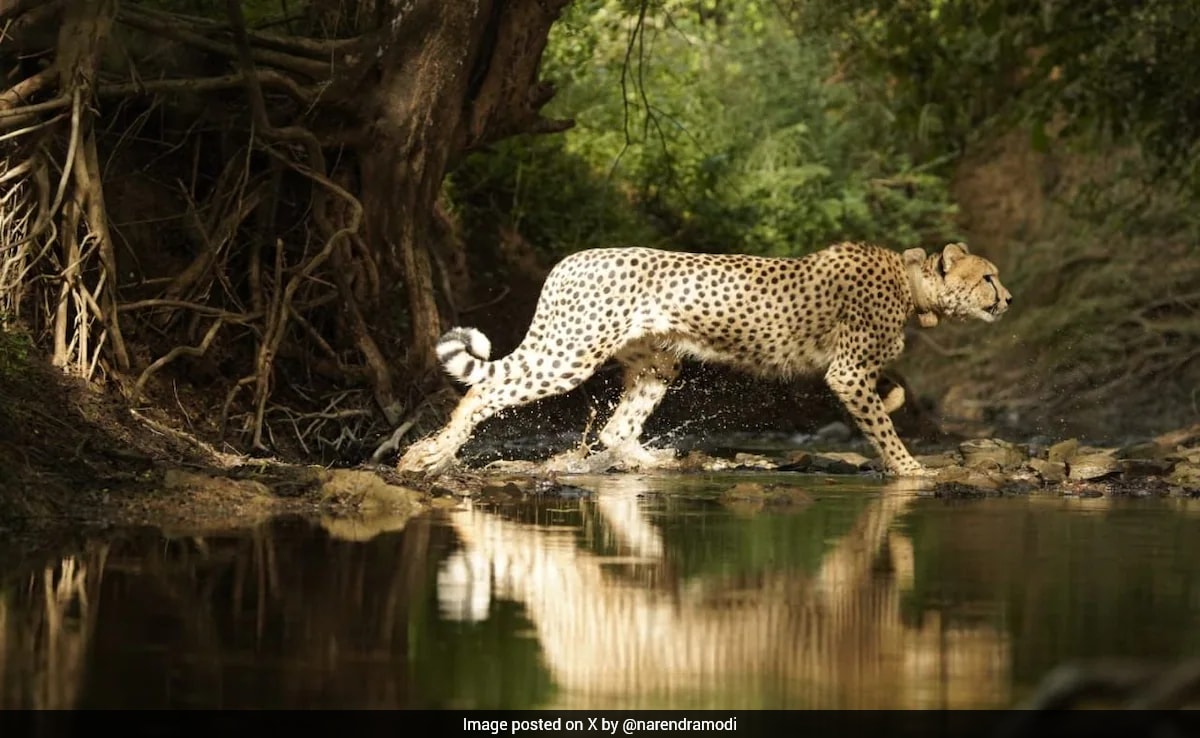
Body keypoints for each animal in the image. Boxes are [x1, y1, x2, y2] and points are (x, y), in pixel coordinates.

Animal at [396, 241, 1012, 477]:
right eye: (988, 277)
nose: (1007, 299)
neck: (913, 288)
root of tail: (571, 259)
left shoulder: (854, 372)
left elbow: (890, 399)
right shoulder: (846, 371)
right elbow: (881, 427)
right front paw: (910, 468)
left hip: (656, 363)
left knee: (617, 429)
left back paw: (657, 462)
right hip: (571, 351)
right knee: (484, 390)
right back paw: (430, 454)